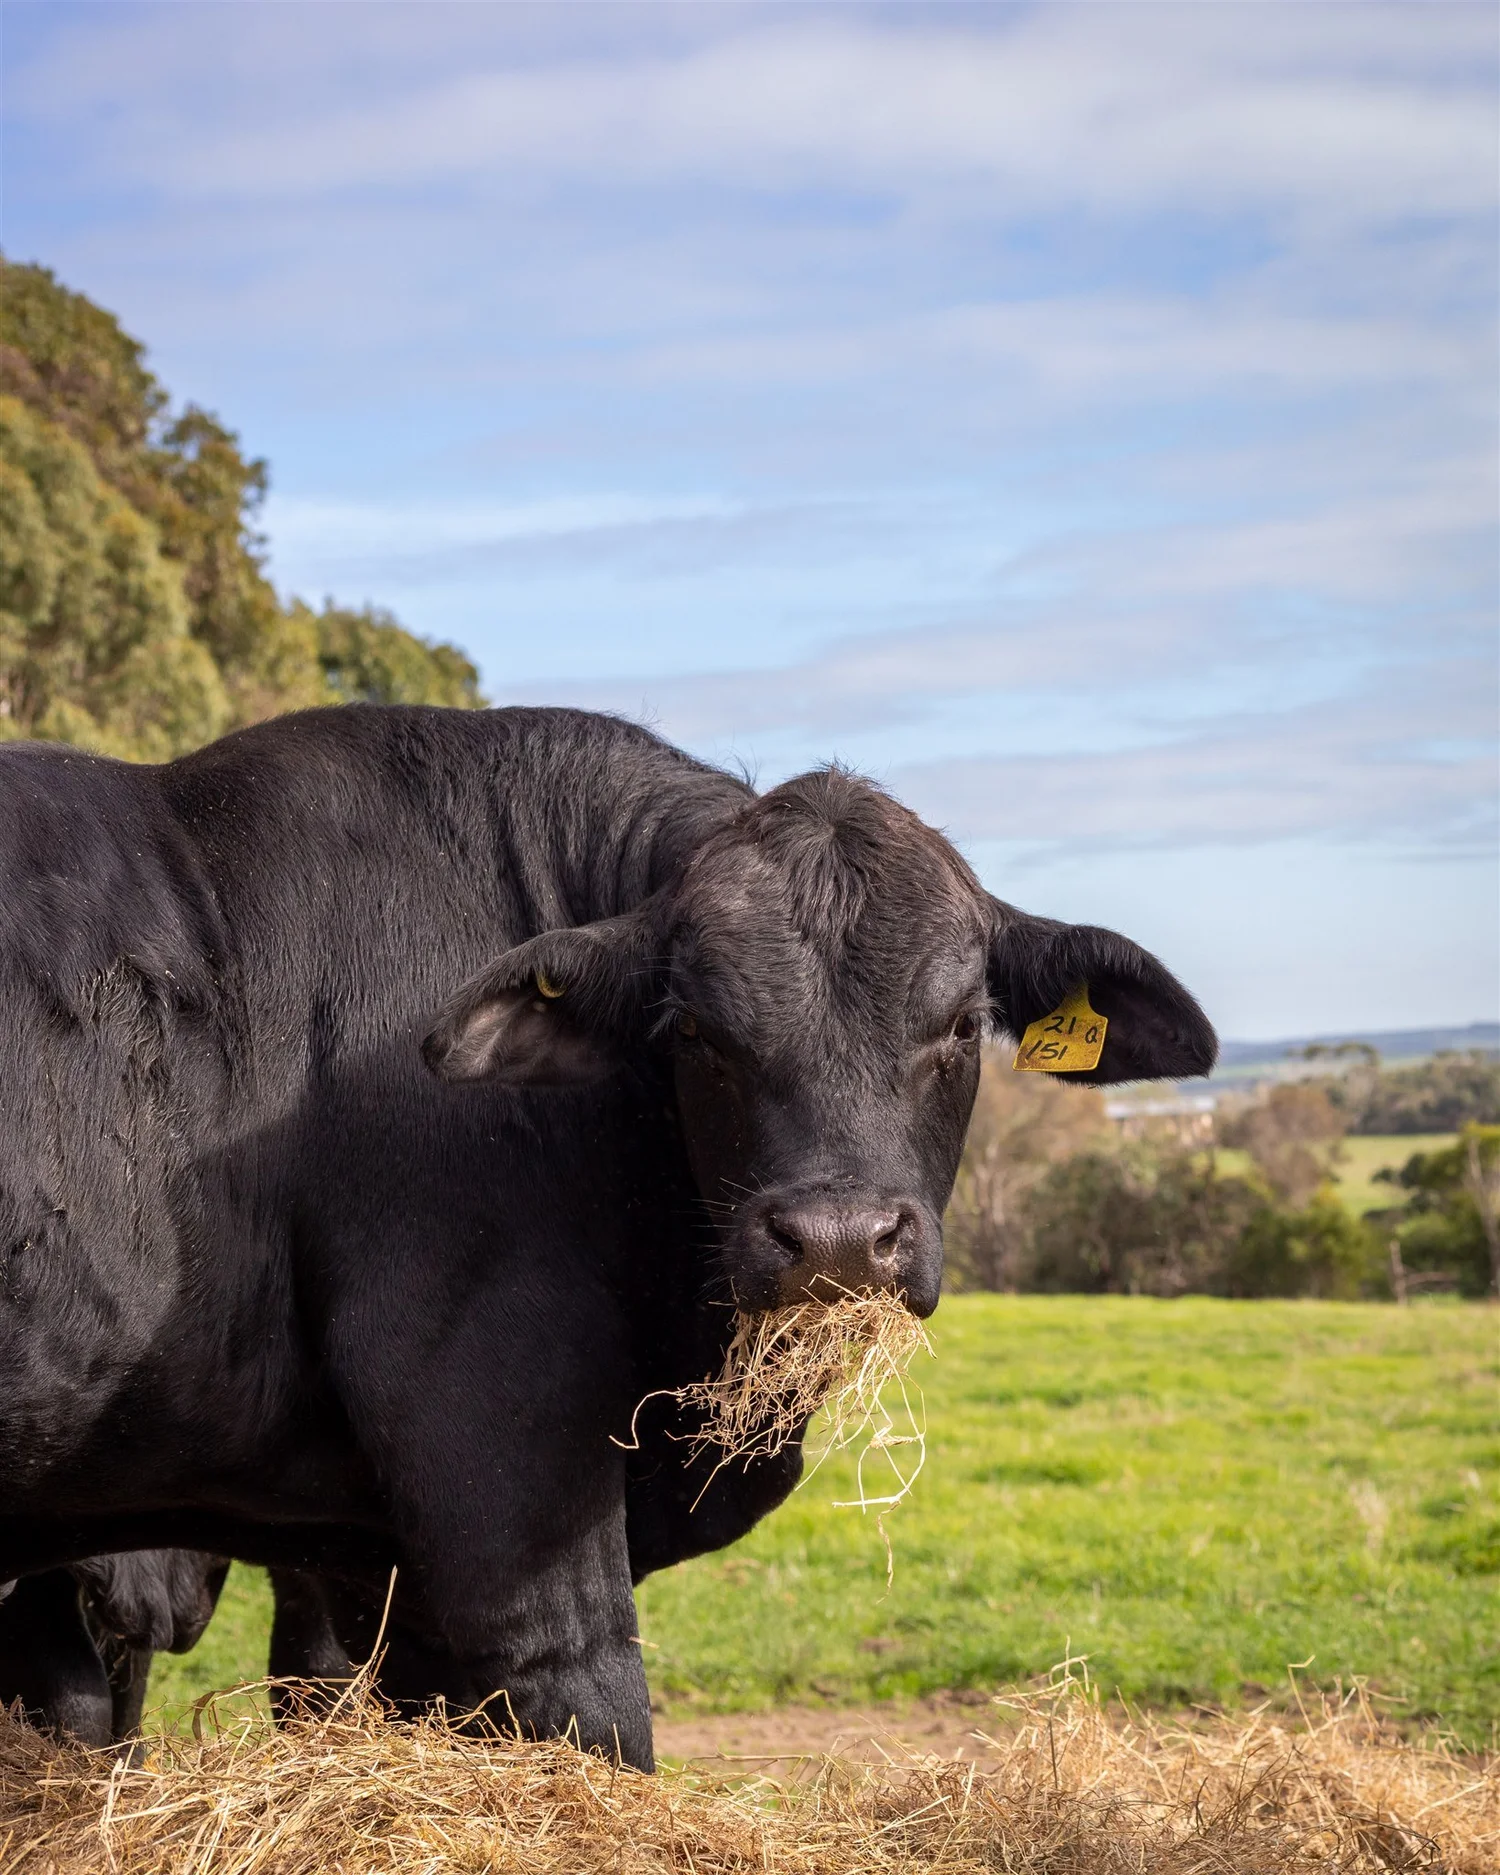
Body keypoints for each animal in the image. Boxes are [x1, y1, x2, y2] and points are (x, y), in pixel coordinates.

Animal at [0, 706, 1214, 1767]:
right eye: (696, 1029)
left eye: (963, 1025)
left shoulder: (373, 1570)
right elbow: (601, 1726)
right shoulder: (507, 1497)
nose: (837, 1240)